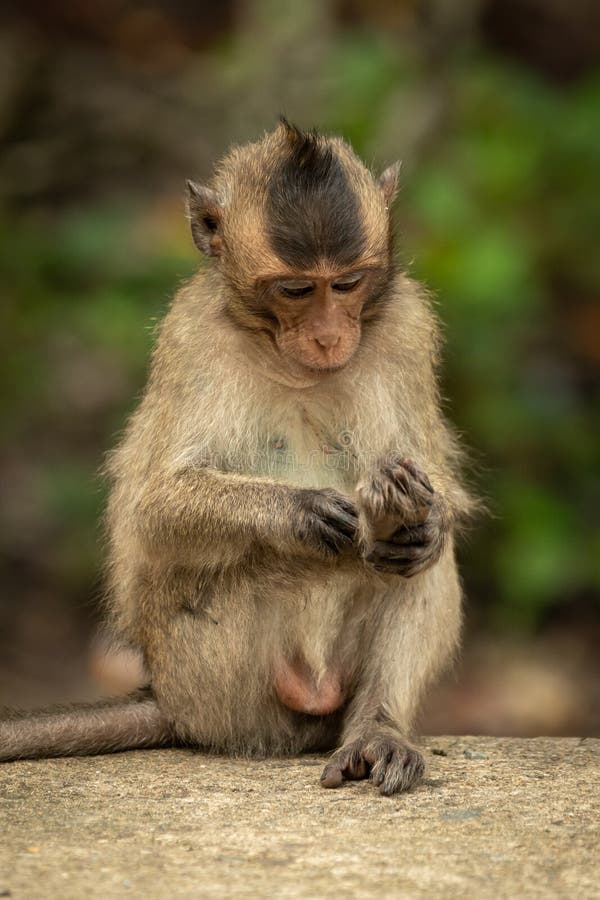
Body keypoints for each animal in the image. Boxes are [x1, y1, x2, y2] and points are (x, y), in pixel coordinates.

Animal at [0, 119, 476, 796]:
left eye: (348, 284)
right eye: (297, 289)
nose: (329, 336)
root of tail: (171, 700)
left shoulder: (409, 328)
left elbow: (435, 491)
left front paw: (425, 519)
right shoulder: (192, 336)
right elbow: (152, 511)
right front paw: (301, 512)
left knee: (412, 563)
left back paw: (377, 728)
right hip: (210, 673)